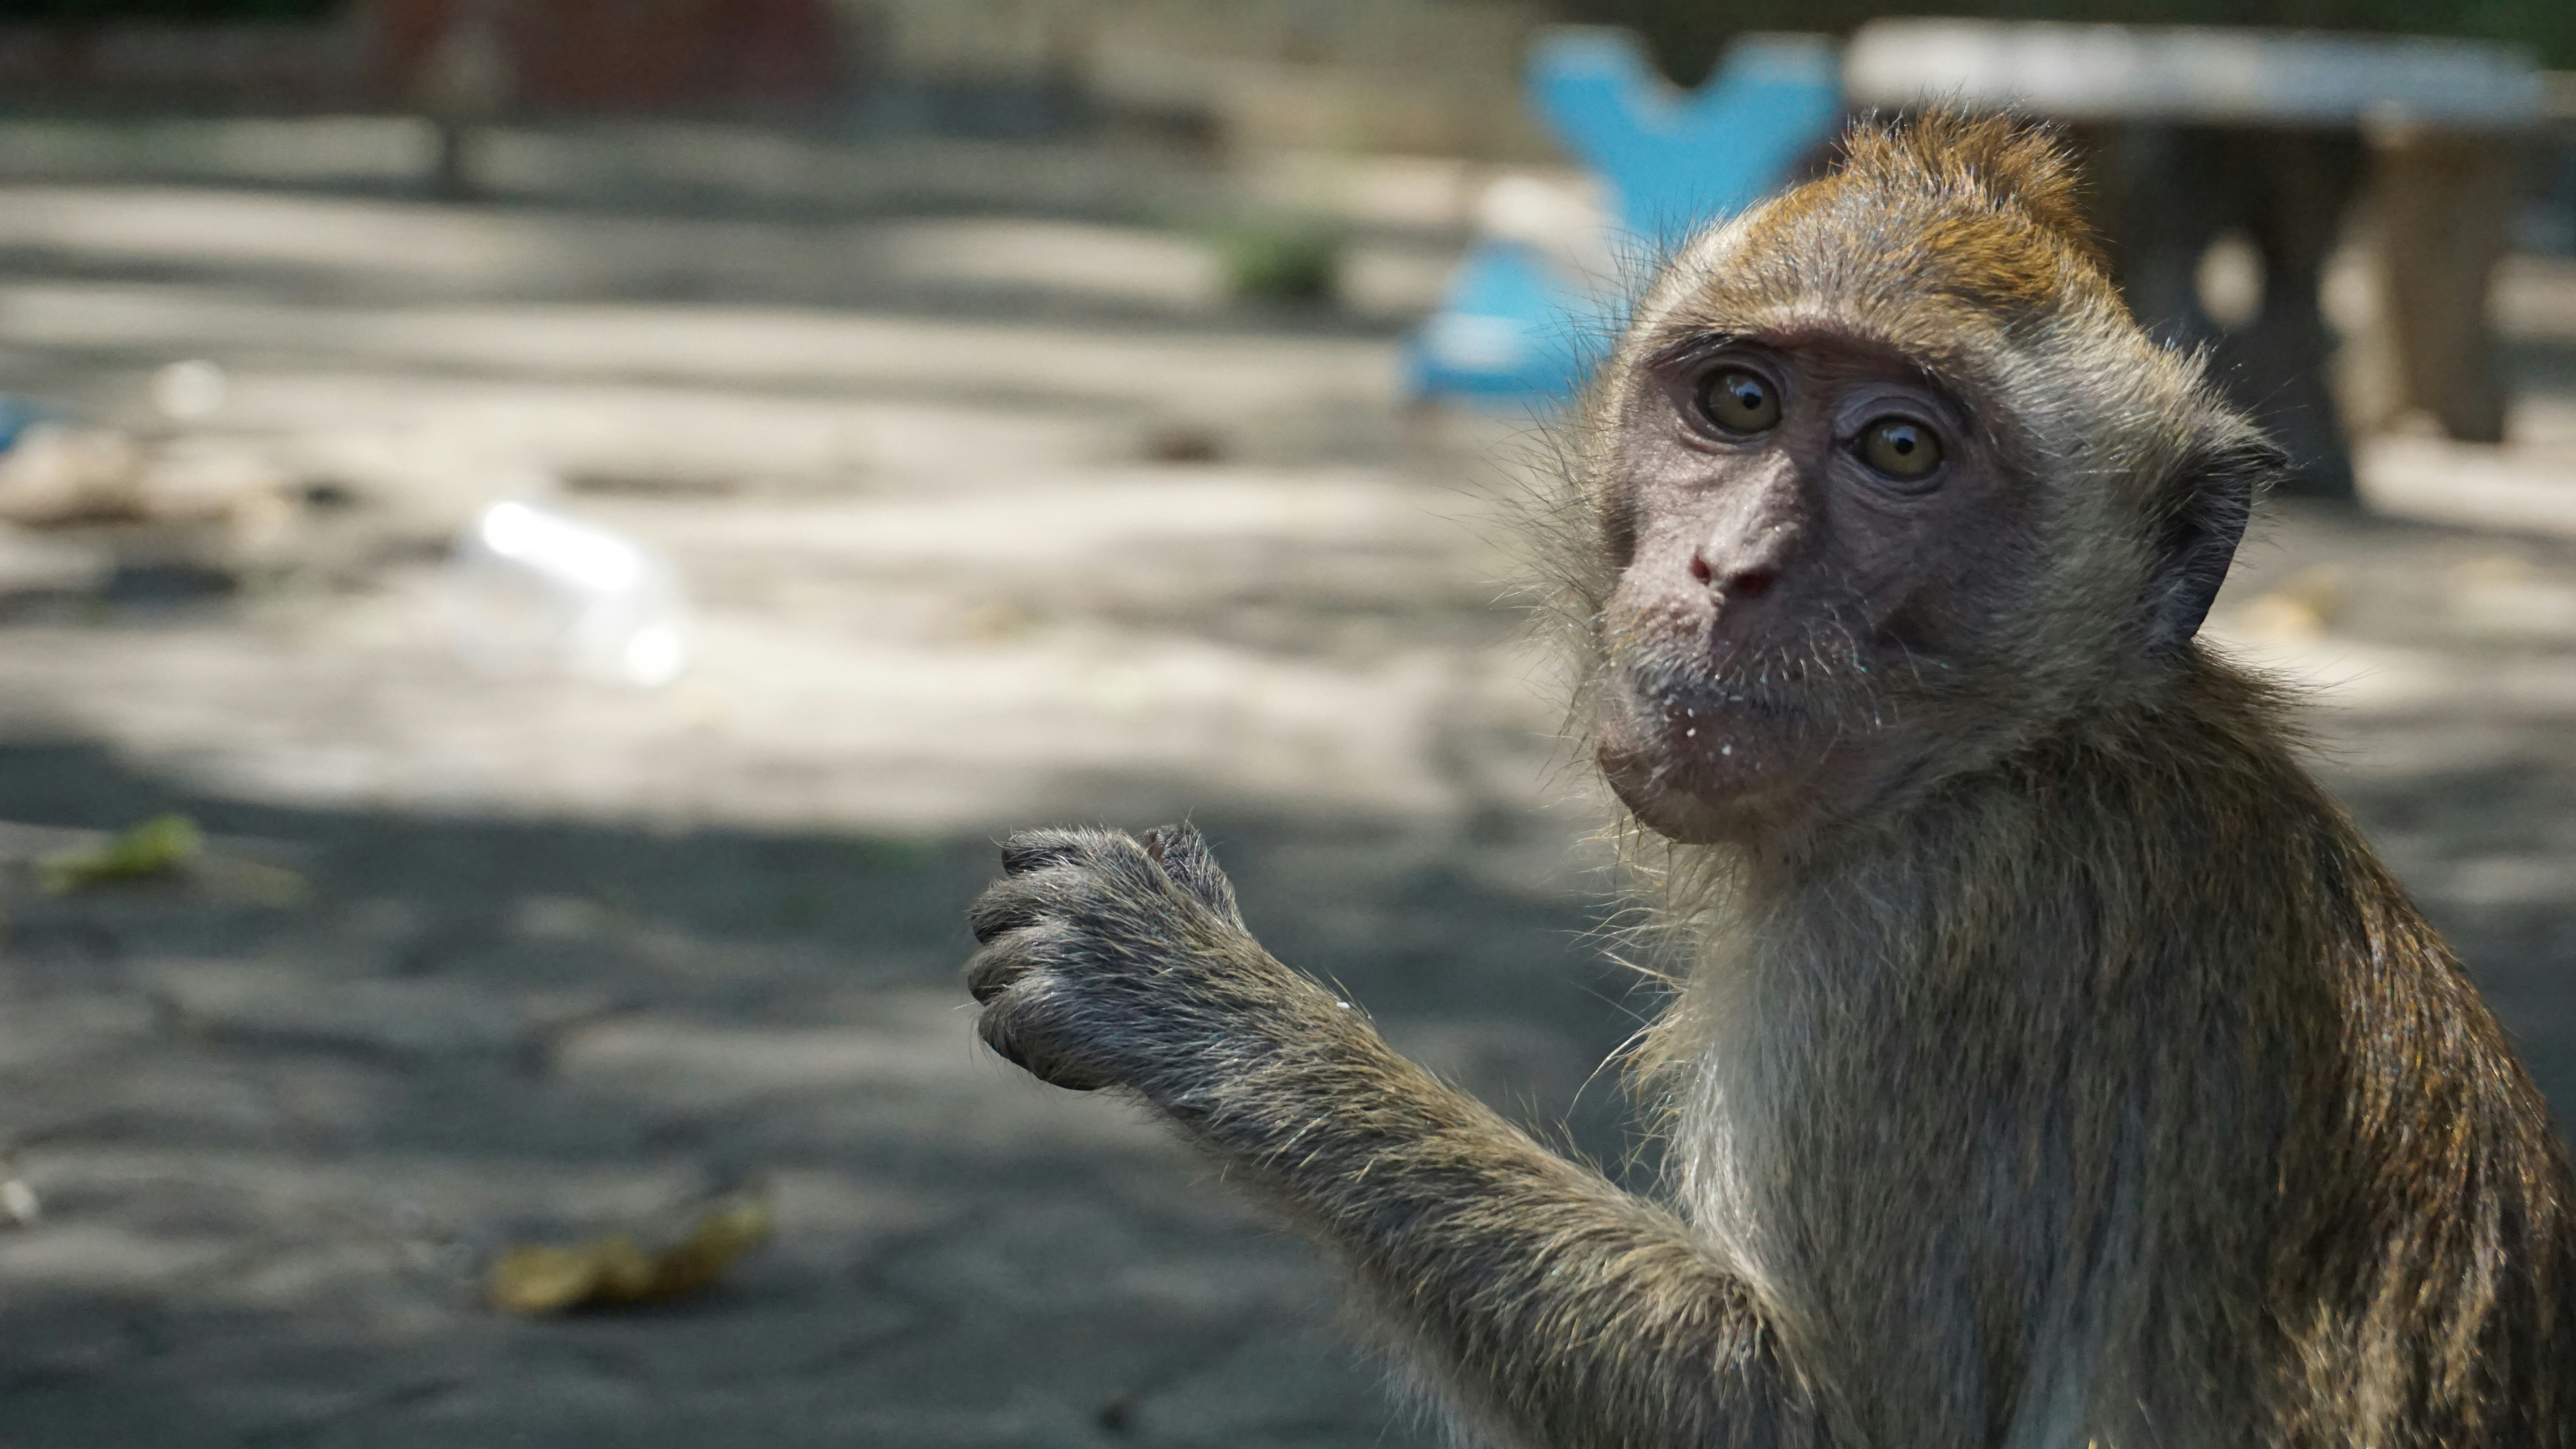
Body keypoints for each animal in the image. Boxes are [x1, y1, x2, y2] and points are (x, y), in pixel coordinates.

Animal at [963, 113, 2576, 1448]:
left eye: (1900, 448)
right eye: (1738, 401)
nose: (1730, 569)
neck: (2033, 748)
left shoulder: (1919, 940)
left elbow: (1832, 1419)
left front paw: (1194, 999)